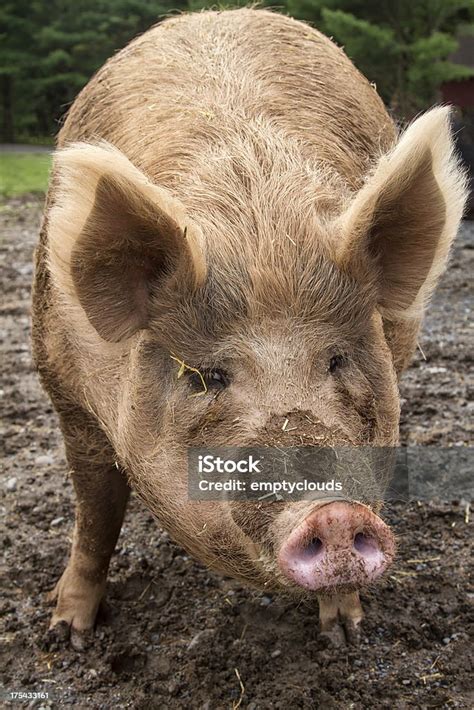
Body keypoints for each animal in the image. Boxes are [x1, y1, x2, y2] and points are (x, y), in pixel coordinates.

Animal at [32, 8, 468, 649]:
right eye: (206, 376)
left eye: (336, 359)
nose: (334, 512)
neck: (260, 235)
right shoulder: (65, 392)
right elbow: (96, 511)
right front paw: (67, 635)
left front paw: (346, 637)